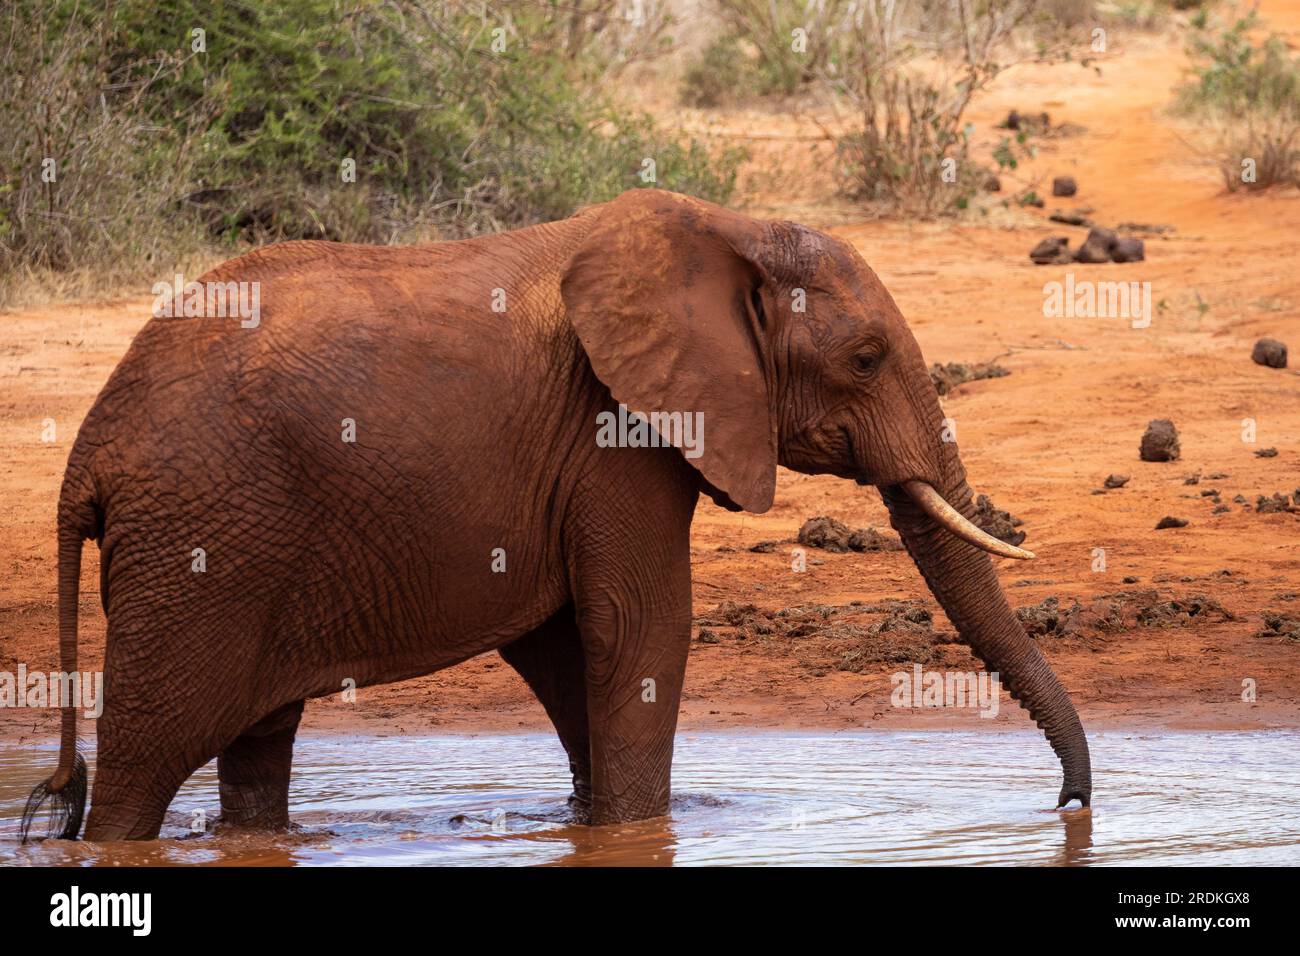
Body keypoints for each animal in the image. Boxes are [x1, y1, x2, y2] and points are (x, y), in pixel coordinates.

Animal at [22, 188, 1091, 842]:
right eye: (866, 358)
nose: (1073, 807)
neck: (725, 228)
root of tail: (87, 455)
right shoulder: (614, 430)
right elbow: (639, 626)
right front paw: (640, 830)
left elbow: (568, 641)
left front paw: (597, 827)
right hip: (199, 547)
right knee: (143, 766)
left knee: (256, 745)